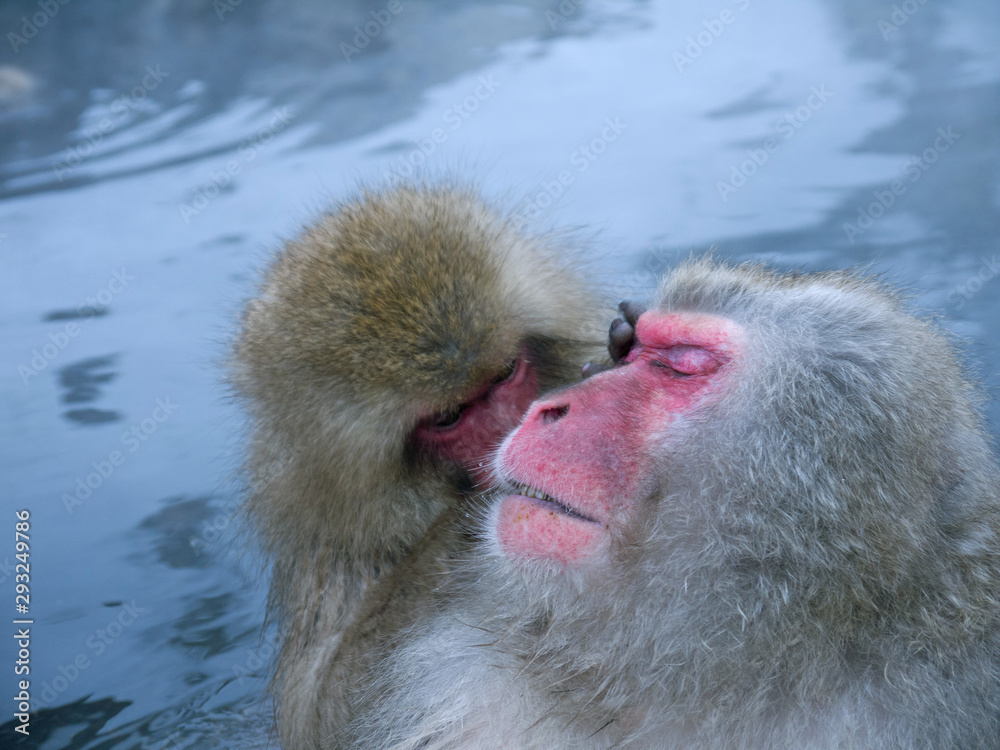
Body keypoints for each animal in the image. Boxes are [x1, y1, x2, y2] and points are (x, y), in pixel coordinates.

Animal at [230, 184, 609, 748]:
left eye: (505, 373)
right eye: (450, 416)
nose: (519, 433)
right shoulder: (337, 558)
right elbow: (323, 712)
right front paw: (470, 518)